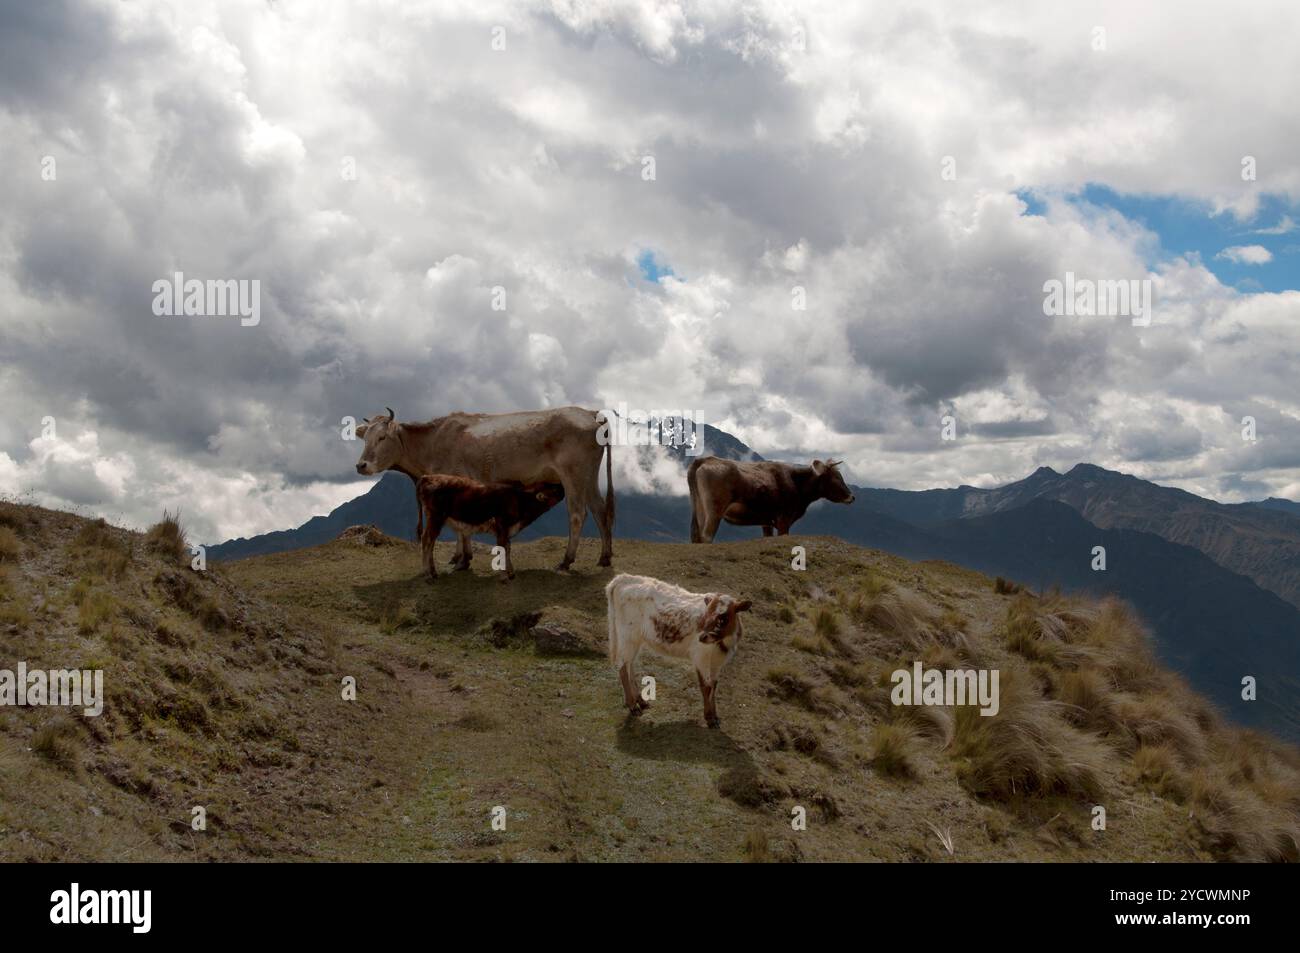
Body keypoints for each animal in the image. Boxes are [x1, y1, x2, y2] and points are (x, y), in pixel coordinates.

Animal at [415, 475, 564, 580]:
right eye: (554, 489)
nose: (562, 487)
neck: (520, 499)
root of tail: (427, 477)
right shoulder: (502, 526)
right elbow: (503, 548)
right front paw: (504, 576)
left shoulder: (507, 530)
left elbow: (507, 549)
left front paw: (511, 573)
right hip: (435, 517)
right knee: (426, 540)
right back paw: (427, 574)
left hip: (435, 519)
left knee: (431, 542)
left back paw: (433, 572)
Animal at [605, 573, 752, 728]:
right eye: (706, 613)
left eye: (723, 618)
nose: (702, 636)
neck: (723, 644)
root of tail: (624, 578)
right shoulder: (701, 658)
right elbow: (706, 687)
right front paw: (709, 718)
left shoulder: (717, 663)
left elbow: (714, 686)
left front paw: (715, 716)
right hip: (627, 636)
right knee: (623, 666)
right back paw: (632, 705)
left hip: (635, 640)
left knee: (630, 665)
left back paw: (640, 701)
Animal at [687, 456, 855, 542]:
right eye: (836, 478)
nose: (852, 497)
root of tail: (706, 459)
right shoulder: (784, 519)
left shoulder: (766, 521)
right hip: (714, 511)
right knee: (706, 535)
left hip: (699, 509)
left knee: (696, 535)